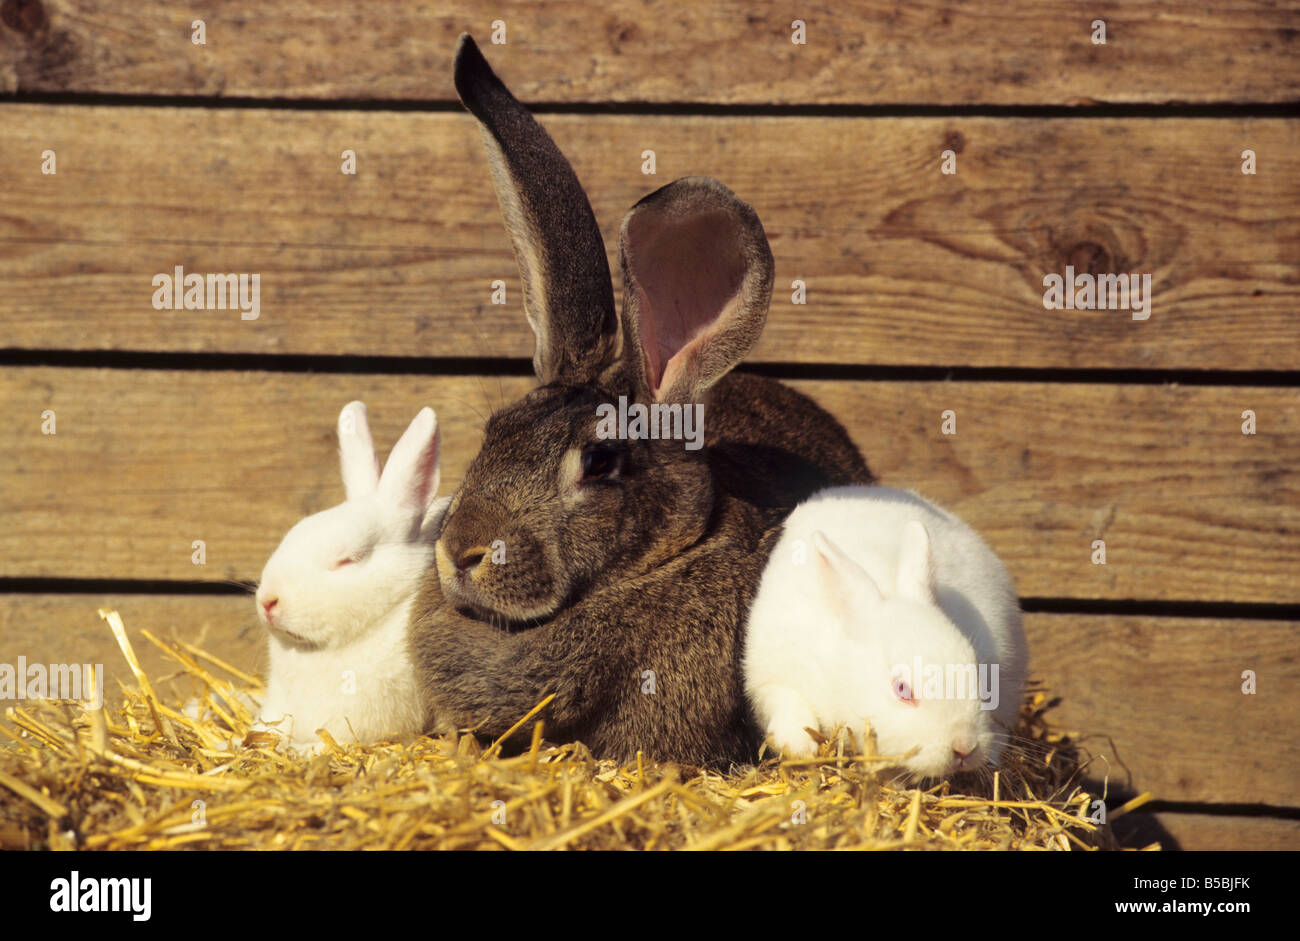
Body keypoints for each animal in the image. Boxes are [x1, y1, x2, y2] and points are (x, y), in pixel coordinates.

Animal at [743, 485, 1029, 780]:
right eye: (902, 689)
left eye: (976, 674)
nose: (964, 747)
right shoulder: (770, 674)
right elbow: (786, 700)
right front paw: (797, 747)